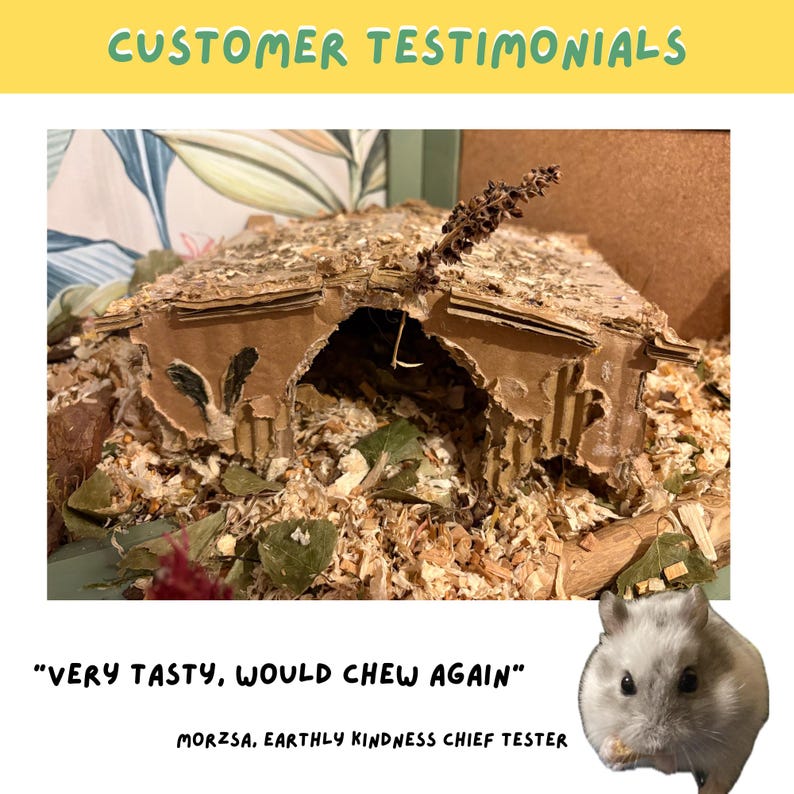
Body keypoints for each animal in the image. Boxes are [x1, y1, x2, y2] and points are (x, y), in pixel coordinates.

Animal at [578, 586, 768, 793]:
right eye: (625, 684)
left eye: (690, 681)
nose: (657, 746)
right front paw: (613, 749)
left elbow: (670, 763)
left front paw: (663, 757)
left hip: (734, 756)